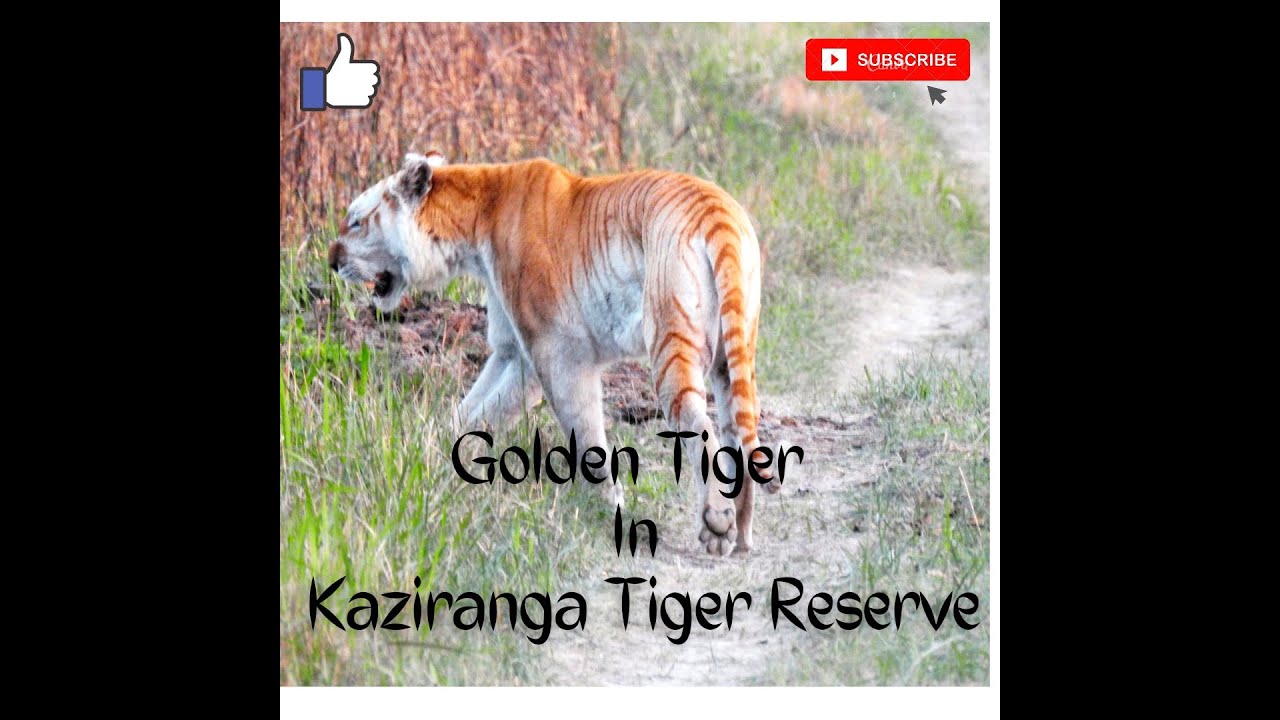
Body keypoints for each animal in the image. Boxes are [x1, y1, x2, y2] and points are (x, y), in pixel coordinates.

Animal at [328, 152, 778, 556]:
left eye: (356, 221)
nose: (331, 260)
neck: (472, 227)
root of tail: (717, 211)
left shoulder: (556, 351)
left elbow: (585, 437)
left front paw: (609, 509)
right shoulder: (516, 351)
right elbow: (473, 410)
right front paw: (434, 449)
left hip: (671, 343)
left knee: (700, 426)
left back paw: (716, 524)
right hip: (732, 354)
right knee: (737, 429)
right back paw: (739, 534)